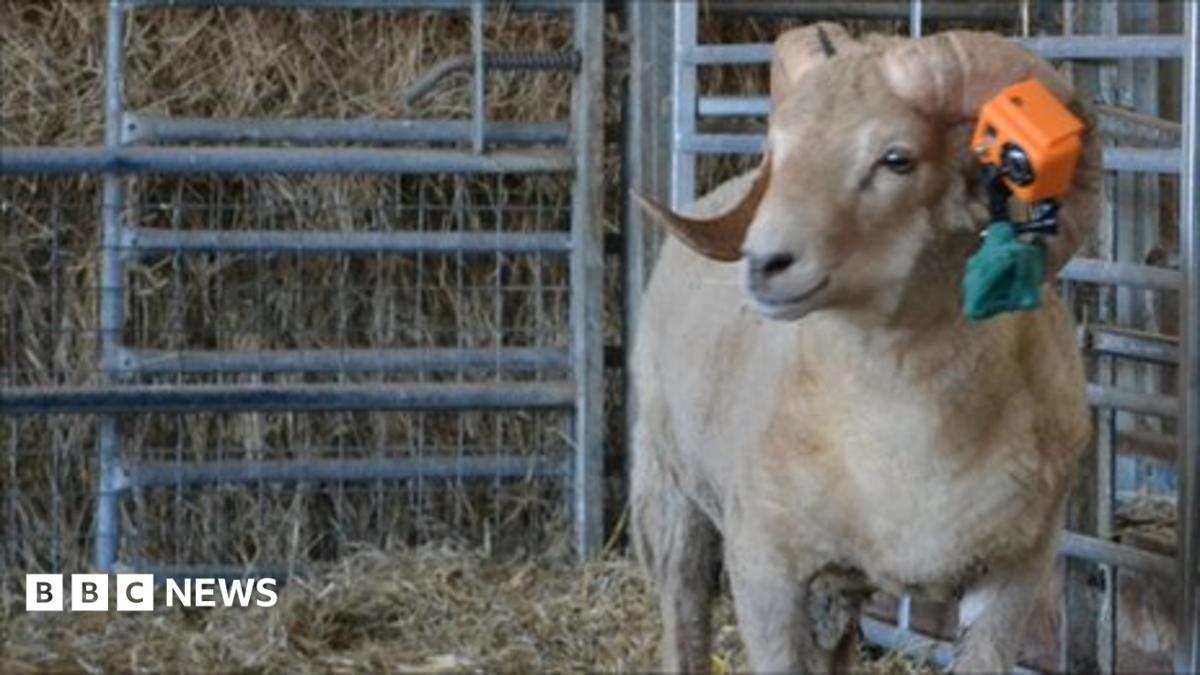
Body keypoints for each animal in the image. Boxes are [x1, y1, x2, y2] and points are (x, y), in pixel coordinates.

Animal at [630, 24, 1102, 674]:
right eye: (776, 148)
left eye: (896, 159)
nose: (763, 263)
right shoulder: (763, 566)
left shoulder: (1017, 572)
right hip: (668, 483)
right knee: (684, 617)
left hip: (837, 580)